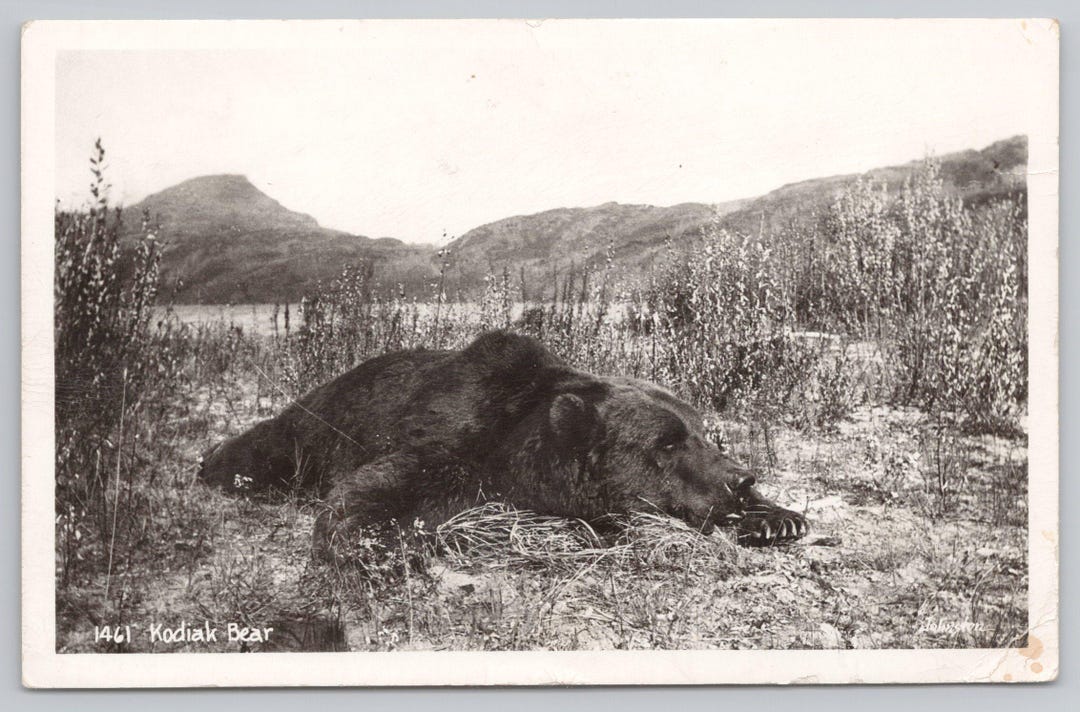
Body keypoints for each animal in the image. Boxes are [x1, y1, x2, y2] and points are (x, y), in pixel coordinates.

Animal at [198, 330, 808, 557]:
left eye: (706, 434)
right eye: (666, 444)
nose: (741, 478)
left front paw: (779, 517)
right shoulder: (456, 439)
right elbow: (382, 487)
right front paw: (363, 542)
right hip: (307, 431)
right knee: (259, 452)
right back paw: (216, 466)